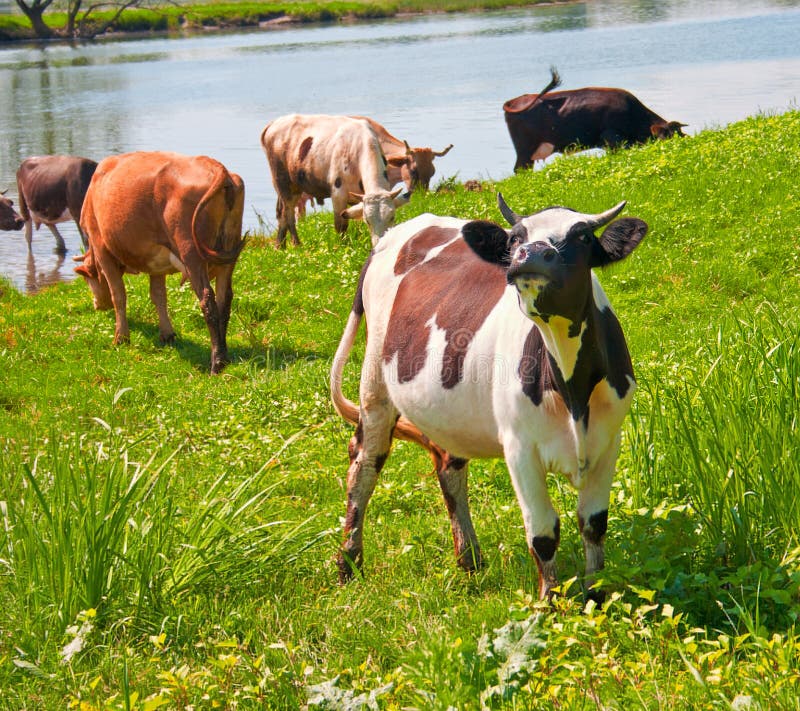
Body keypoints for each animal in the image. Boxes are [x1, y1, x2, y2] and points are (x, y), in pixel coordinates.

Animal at [74, 151, 245, 375]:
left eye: (87, 279)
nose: (97, 305)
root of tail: (218, 168)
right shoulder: (156, 265)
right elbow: (158, 296)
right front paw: (167, 334)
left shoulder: (102, 247)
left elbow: (118, 295)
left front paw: (121, 337)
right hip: (227, 256)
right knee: (224, 301)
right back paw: (224, 356)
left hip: (192, 254)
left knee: (208, 301)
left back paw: (216, 362)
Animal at [260, 114, 408, 249]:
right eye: (367, 220)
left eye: (392, 217)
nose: (380, 243)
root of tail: (275, 122)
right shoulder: (338, 193)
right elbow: (341, 225)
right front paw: (342, 247)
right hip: (282, 181)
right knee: (288, 212)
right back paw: (296, 245)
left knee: (282, 213)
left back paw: (280, 246)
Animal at [330, 193, 647, 601]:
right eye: (516, 238)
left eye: (580, 236)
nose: (530, 254)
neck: (571, 390)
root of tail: (390, 236)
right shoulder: (519, 447)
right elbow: (543, 533)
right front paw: (550, 603)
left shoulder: (609, 441)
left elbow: (593, 524)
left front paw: (595, 598)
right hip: (374, 383)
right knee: (364, 465)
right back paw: (349, 565)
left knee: (448, 464)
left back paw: (470, 560)